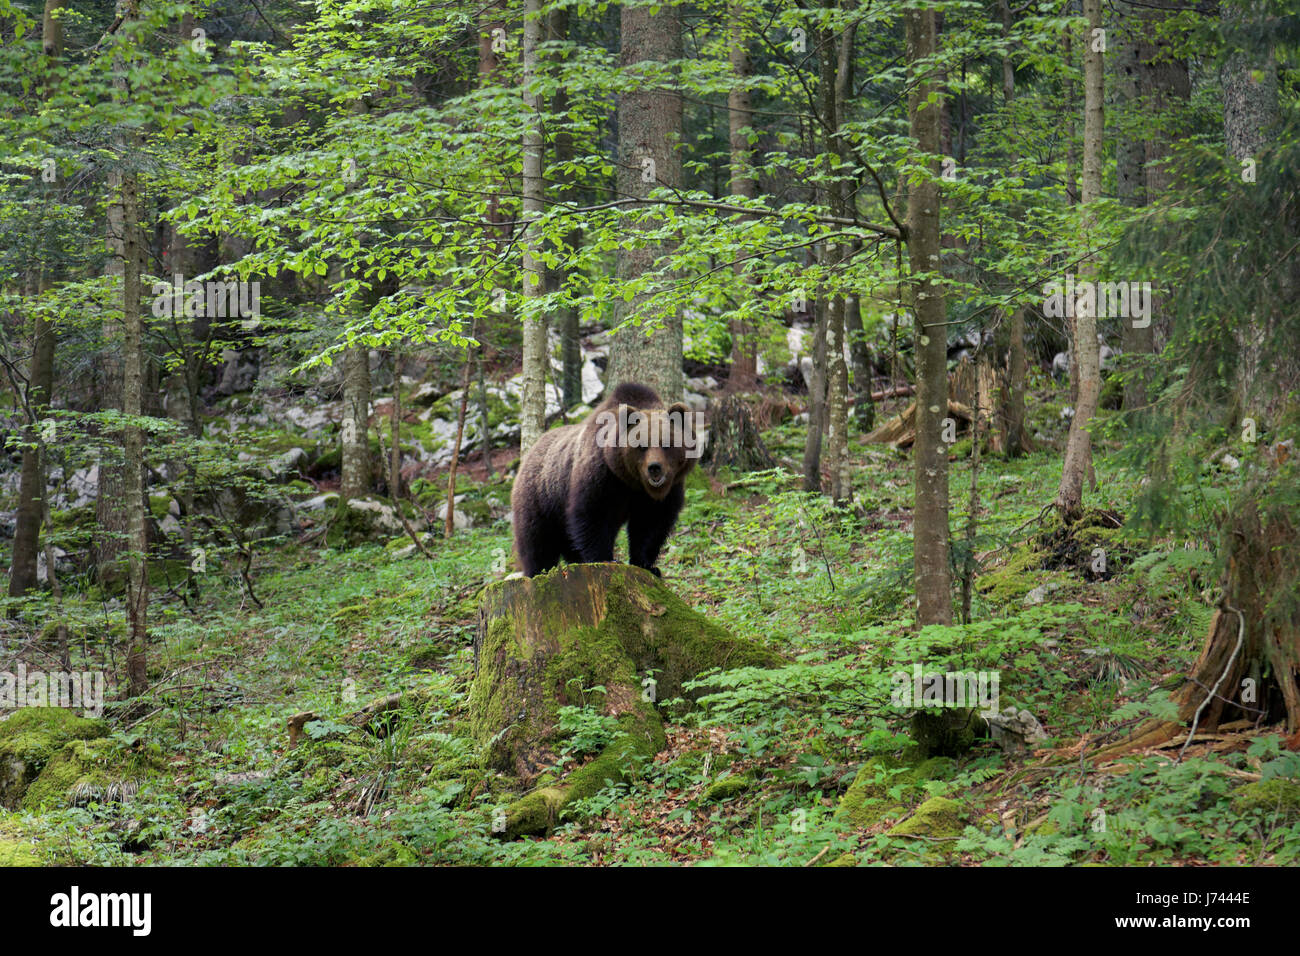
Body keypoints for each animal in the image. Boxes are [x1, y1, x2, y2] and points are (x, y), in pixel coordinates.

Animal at [511, 382, 698, 578]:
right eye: (642, 445)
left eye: (667, 443)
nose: (654, 467)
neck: (632, 483)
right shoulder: (603, 478)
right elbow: (593, 515)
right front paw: (605, 558)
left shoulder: (666, 491)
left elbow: (651, 523)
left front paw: (648, 564)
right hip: (542, 498)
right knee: (538, 542)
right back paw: (538, 571)